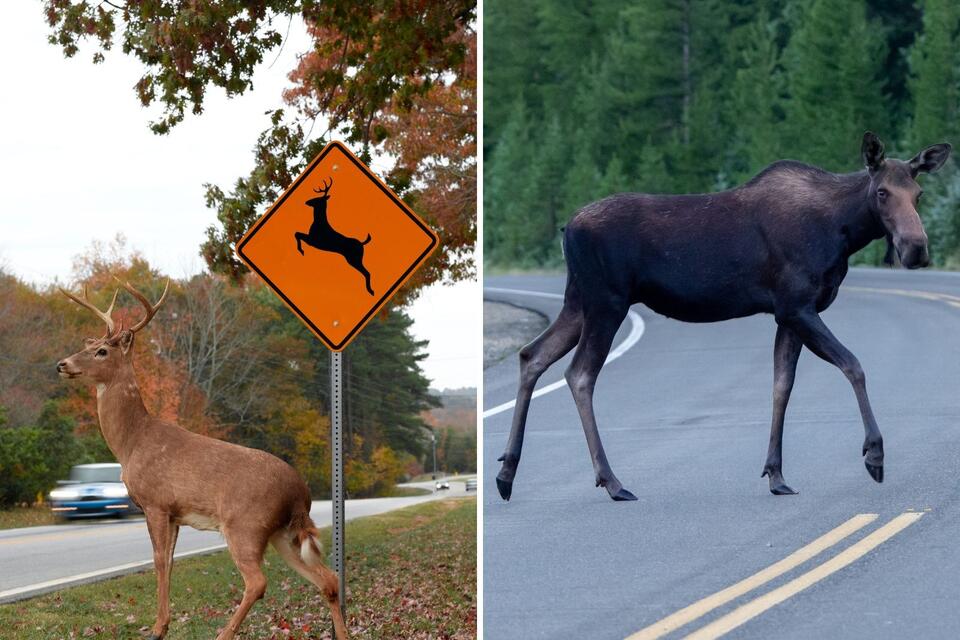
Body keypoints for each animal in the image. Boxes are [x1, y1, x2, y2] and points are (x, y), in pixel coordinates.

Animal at [56, 280, 348, 640]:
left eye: (102, 351)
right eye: (91, 344)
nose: (62, 364)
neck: (132, 442)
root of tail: (301, 493)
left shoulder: (156, 502)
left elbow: (158, 560)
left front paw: (157, 628)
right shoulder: (175, 514)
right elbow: (168, 561)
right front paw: (163, 624)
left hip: (246, 524)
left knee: (258, 582)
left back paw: (223, 633)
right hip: (282, 532)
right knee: (328, 579)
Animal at [496, 132, 952, 502]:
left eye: (918, 193)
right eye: (882, 192)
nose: (916, 248)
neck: (843, 231)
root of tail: (566, 229)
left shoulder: (788, 315)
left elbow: (782, 385)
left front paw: (776, 474)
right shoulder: (796, 305)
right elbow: (853, 365)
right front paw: (874, 454)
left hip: (579, 301)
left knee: (532, 354)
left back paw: (507, 473)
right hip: (606, 302)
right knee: (579, 374)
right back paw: (611, 481)